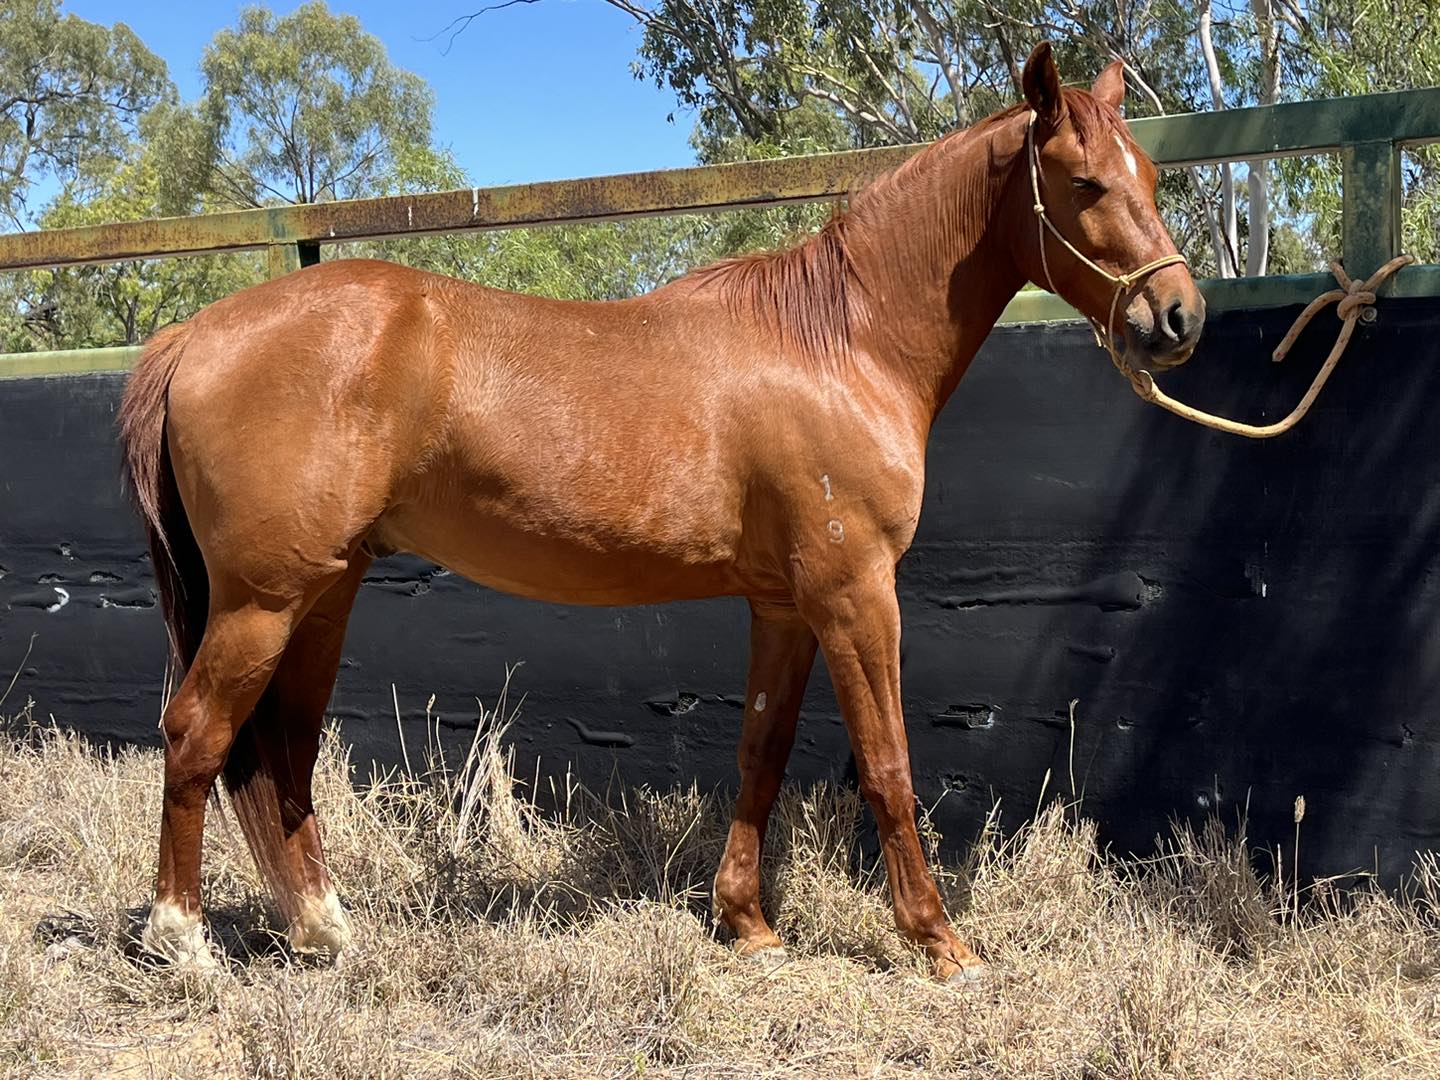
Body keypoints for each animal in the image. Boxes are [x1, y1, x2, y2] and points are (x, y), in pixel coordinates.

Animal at [119, 42, 1203, 982]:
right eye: (1084, 183)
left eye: (1149, 173)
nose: (1177, 318)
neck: (839, 343)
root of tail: (195, 335)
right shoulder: (855, 592)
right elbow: (888, 763)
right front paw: (941, 943)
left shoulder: (784, 605)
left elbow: (760, 754)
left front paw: (748, 924)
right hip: (262, 602)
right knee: (197, 733)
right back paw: (182, 941)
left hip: (323, 594)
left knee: (284, 748)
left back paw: (321, 929)